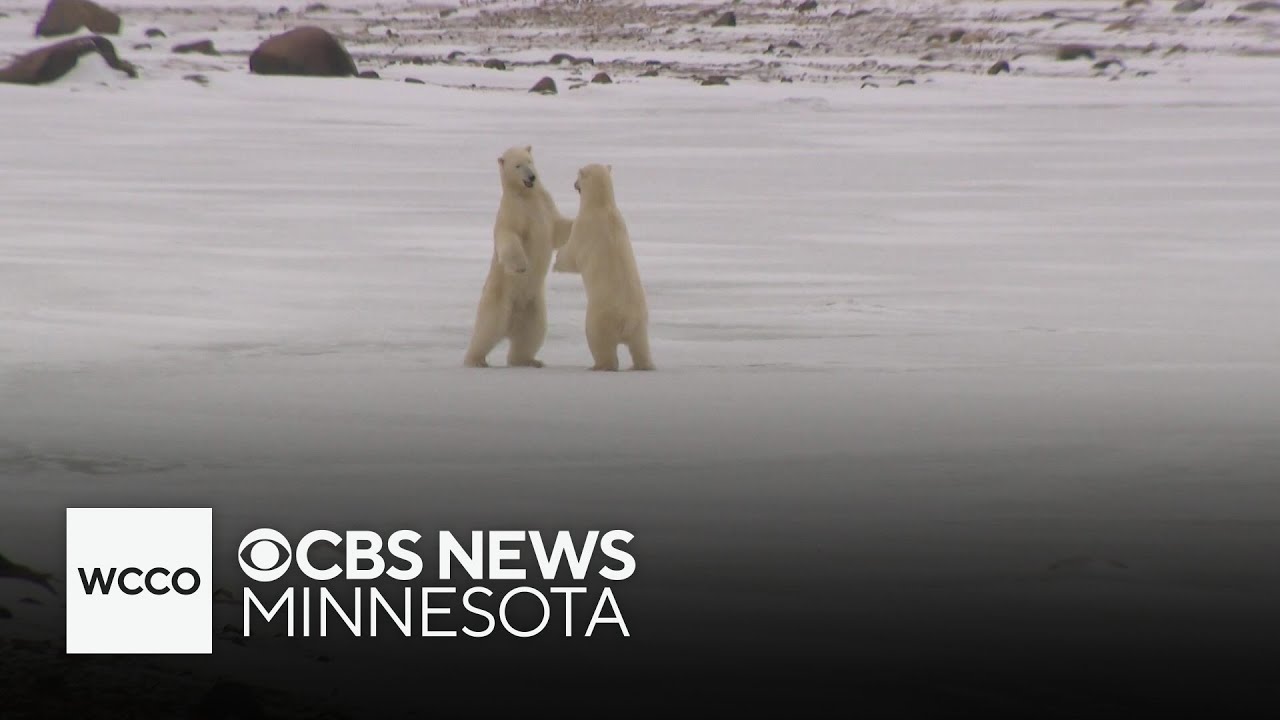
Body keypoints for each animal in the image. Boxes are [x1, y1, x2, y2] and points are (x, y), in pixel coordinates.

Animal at [464, 145, 574, 368]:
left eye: (529, 161)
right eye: (517, 165)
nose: (531, 176)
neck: (526, 195)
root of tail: (510, 326)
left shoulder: (545, 205)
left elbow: (558, 229)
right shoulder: (513, 212)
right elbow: (510, 237)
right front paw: (521, 266)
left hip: (533, 307)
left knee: (531, 334)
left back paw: (530, 360)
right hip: (498, 300)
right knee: (486, 329)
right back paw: (475, 360)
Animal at [553, 163, 655, 371]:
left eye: (578, 177)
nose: (574, 184)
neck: (602, 207)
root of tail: (627, 321)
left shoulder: (583, 228)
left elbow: (572, 258)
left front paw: (557, 259)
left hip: (599, 317)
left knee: (599, 341)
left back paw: (599, 365)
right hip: (640, 323)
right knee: (640, 345)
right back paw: (644, 365)